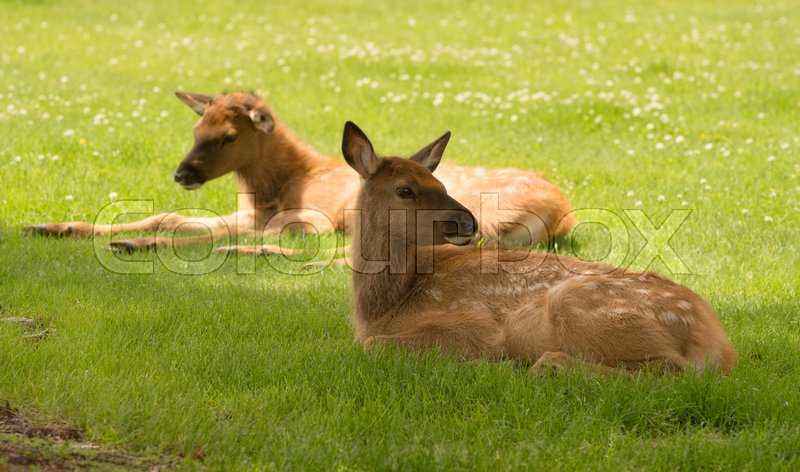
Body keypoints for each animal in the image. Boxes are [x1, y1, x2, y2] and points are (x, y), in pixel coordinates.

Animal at [24, 92, 576, 256]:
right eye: (197, 125)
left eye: (229, 135)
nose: (183, 173)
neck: (276, 188)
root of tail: (563, 215)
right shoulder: (245, 212)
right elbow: (168, 217)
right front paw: (52, 225)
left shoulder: (313, 218)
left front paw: (137, 245)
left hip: (480, 220)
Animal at [341, 121, 737, 375]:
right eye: (405, 189)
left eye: (440, 183)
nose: (469, 221)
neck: (386, 306)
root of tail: (718, 343)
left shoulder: (474, 323)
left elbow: (370, 344)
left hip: (581, 305)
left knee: (673, 369)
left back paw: (544, 365)